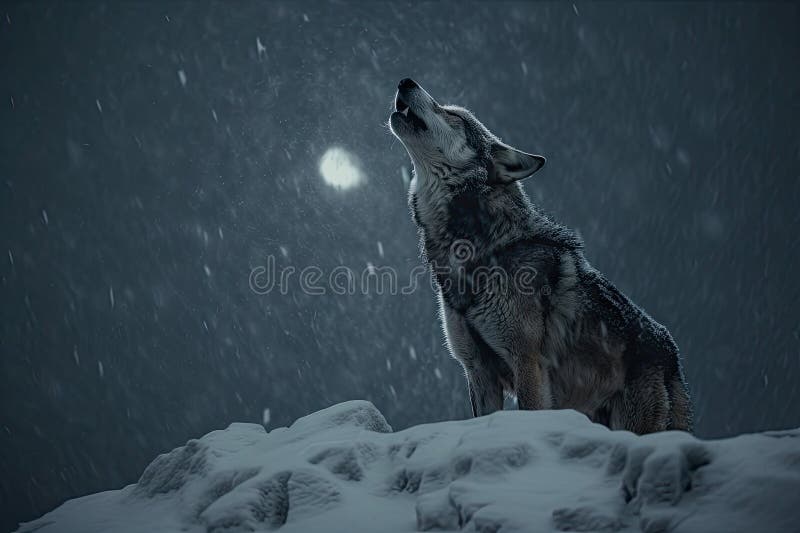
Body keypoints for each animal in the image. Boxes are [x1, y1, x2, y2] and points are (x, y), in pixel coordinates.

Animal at [388, 78, 692, 434]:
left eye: (451, 114)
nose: (405, 81)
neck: (486, 247)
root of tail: (674, 359)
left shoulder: (527, 362)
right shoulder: (477, 371)